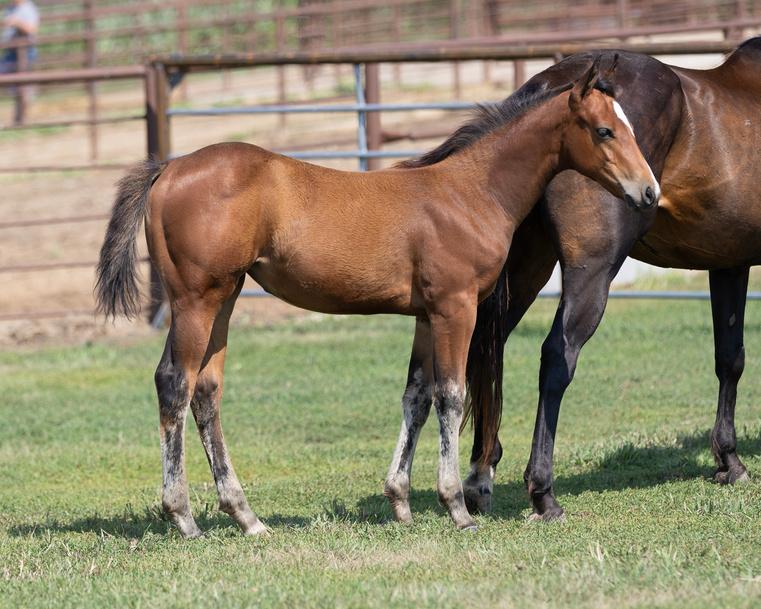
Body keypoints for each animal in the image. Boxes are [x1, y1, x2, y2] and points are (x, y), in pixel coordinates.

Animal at [96, 57, 658, 537]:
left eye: (631, 127)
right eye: (604, 130)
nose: (649, 192)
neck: (470, 192)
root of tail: (168, 168)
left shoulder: (426, 315)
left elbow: (417, 396)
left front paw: (401, 502)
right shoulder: (455, 307)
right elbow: (451, 396)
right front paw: (457, 507)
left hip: (226, 298)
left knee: (207, 392)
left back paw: (246, 516)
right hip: (196, 299)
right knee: (175, 384)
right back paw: (183, 516)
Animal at [461, 37, 761, 521]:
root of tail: (549, 85)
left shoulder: (728, 261)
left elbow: (729, 359)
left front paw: (728, 460)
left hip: (526, 269)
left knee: (482, 349)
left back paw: (478, 476)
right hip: (593, 270)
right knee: (556, 356)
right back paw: (542, 492)